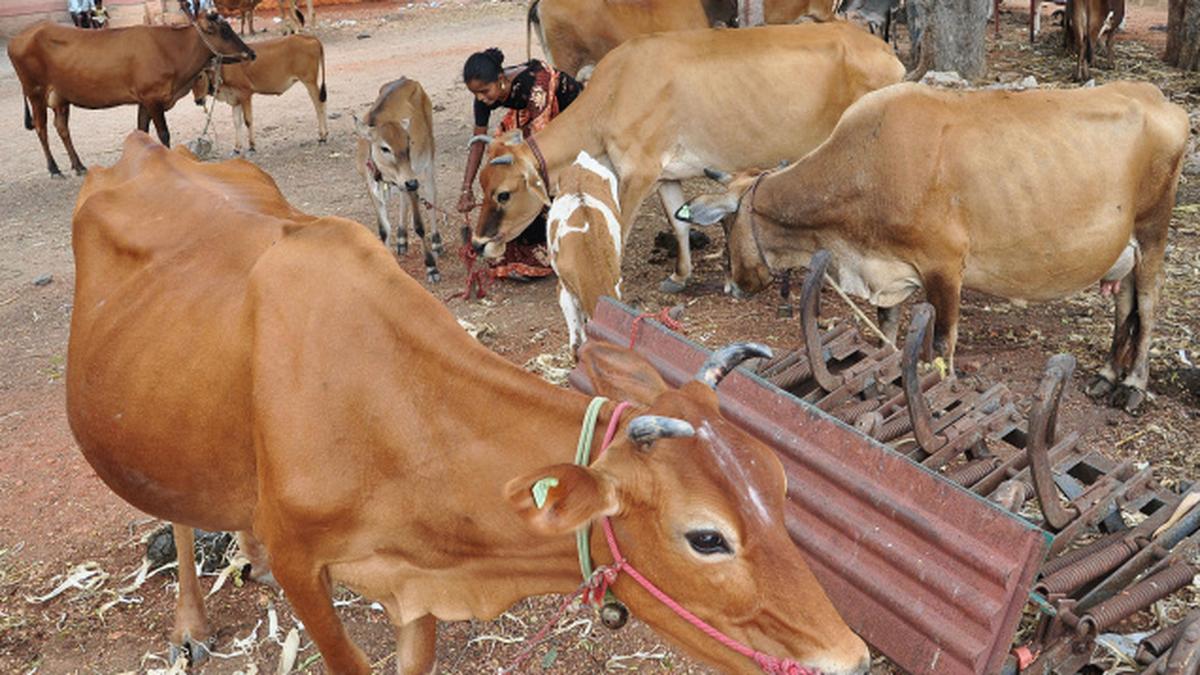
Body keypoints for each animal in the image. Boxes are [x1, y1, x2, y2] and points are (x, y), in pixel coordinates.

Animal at [7, 9, 254, 177]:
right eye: (224, 31)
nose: (251, 53)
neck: (172, 51)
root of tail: (19, 36)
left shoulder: (143, 100)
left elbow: (142, 131)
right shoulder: (152, 98)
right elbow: (163, 134)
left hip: (60, 97)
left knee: (62, 128)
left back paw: (79, 166)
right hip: (35, 92)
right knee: (41, 128)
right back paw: (54, 168)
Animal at [191, 34, 328, 155]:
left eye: (200, 76)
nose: (197, 101)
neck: (223, 68)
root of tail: (310, 38)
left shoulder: (245, 94)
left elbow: (248, 121)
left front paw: (252, 147)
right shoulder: (235, 99)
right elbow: (237, 123)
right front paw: (236, 148)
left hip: (309, 81)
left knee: (319, 105)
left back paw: (322, 136)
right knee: (323, 102)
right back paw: (326, 133)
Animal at [354, 77, 443, 282]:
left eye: (408, 143)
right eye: (384, 148)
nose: (411, 182)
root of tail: (408, 79)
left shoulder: (412, 178)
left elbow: (419, 225)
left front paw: (431, 268)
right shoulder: (371, 186)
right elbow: (383, 228)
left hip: (428, 161)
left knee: (431, 199)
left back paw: (436, 242)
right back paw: (402, 239)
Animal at [472, 23, 905, 293]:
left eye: (504, 194)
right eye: (482, 186)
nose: (477, 244)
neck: (613, 93)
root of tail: (888, 53)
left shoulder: (637, 173)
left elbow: (619, 229)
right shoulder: (666, 175)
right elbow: (679, 226)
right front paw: (680, 277)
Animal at [675, 81, 1188, 414]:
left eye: (727, 225)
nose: (731, 286)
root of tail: (1159, 97)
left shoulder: (945, 269)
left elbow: (943, 343)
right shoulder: (885, 271)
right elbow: (886, 332)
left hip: (1153, 232)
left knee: (1148, 304)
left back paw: (1133, 386)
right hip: (1123, 248)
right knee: (1125, 304)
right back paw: (1107, 376)